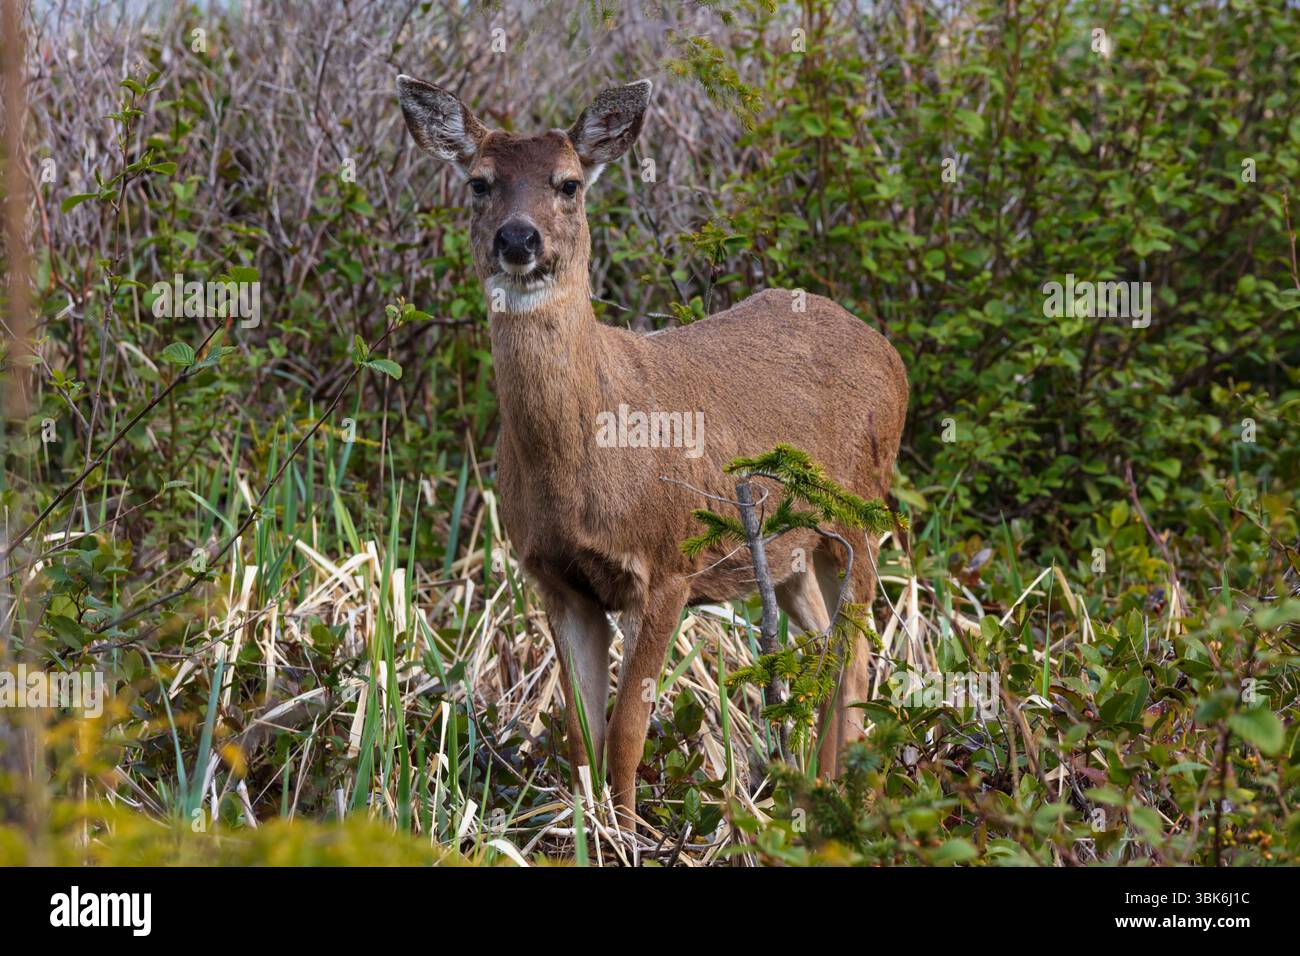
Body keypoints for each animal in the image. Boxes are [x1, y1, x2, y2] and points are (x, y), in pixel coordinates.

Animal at [397, 74, 909, 830]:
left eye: (569, 182)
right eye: (479, 182)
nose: (518, 237)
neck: (586, 458)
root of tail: (889, 351)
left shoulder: (668, 563)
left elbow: (629, 729)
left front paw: (633, 830)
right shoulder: (554, 578)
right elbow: (582, 729)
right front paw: (592, 827)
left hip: (862, 508)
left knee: (857, 649)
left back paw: (848, 802)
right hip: (789, 549)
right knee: (823, 644)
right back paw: (820, 792)